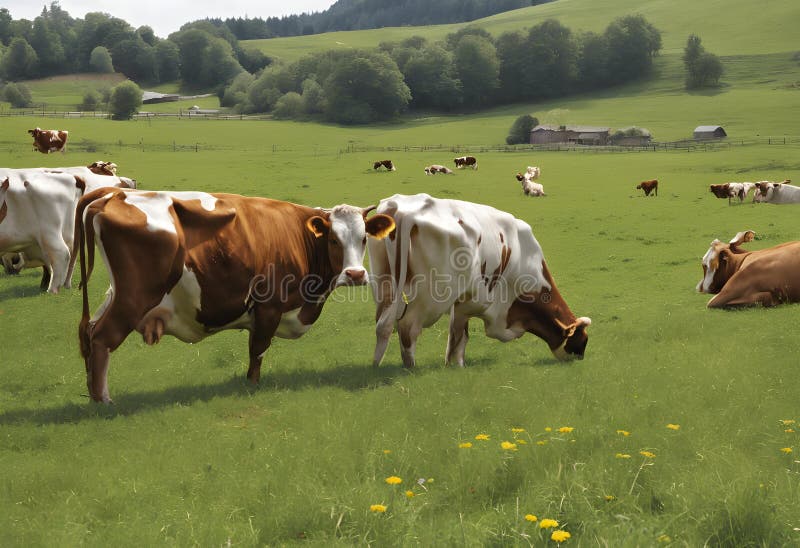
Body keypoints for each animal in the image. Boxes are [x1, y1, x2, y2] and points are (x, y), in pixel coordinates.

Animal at [74, 188, 396, 403]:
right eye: (333, 239)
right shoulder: (269, 307)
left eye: (364, 238)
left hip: (115, 294)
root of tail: (116, 193)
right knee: (102, 338)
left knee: (89, 332)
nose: (355, 274)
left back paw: (92, 393)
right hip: (133, 298)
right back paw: (104, 402)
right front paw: (252, 387)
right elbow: (258, 350)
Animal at [367, 193, 591, 368]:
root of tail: (404, 211)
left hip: (384, 284)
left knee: (383, 326)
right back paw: (410, 367)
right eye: (582, 341)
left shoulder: (461, 302)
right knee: (408, 328)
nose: (580, 359)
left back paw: (376, 366)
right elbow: (460, 336)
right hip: (430, 298)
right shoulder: (474, 302)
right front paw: (456, 366)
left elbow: (456, 335)